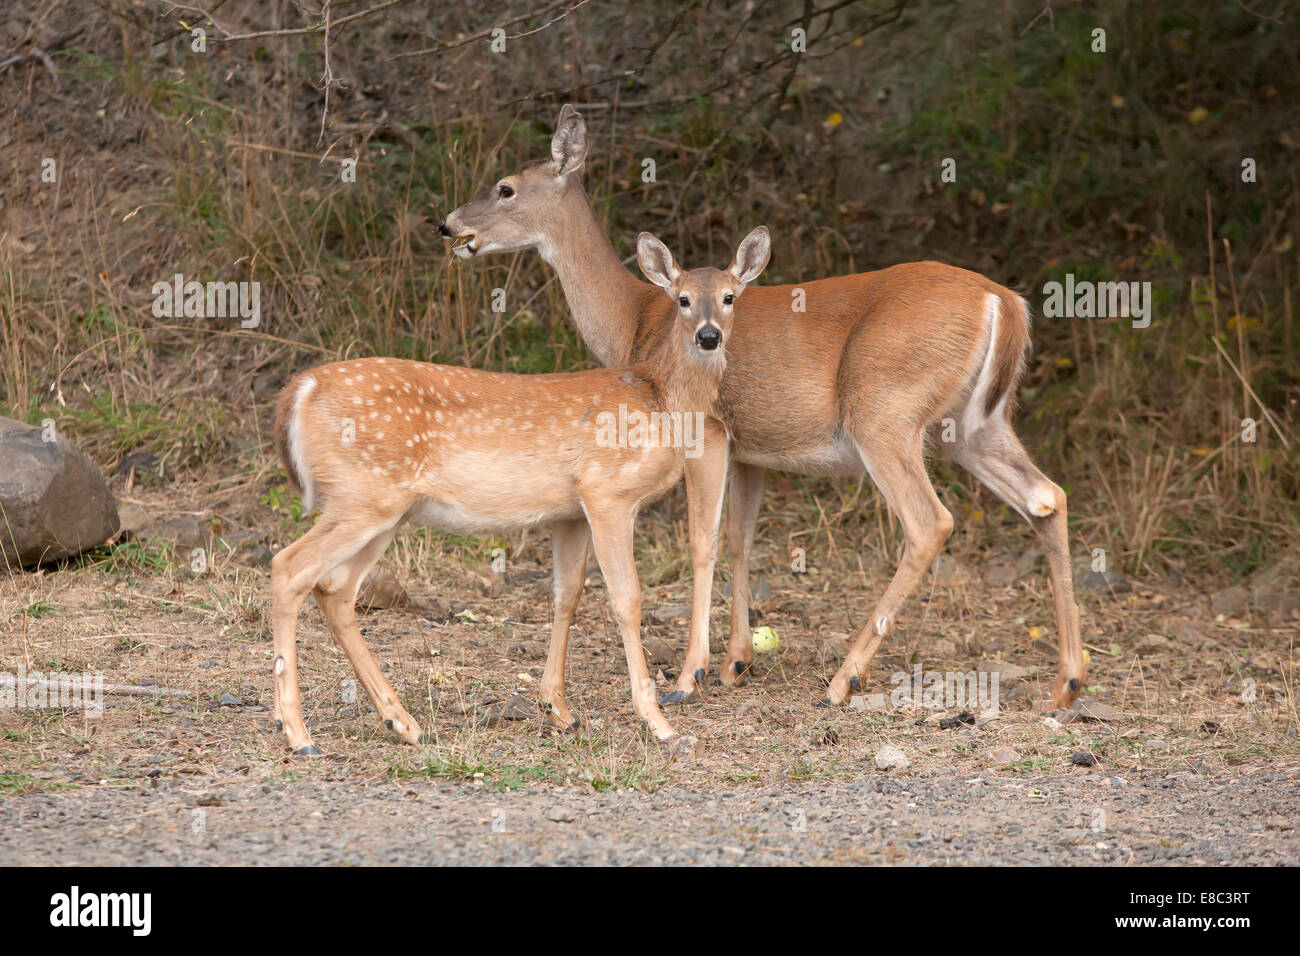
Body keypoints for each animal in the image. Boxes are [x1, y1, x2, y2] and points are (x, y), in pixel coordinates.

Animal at [269, 226, 771, 755]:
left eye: (730, 297)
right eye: (682, 299)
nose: (709, 336)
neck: (662, 404)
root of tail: (298, 391)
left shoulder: (569, 511)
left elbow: (567, 594)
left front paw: (559, 711)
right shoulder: (607, 491)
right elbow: (626, 598)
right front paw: (657, 720)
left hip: (383, 508)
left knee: (337, 590)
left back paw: (402, 722)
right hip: (362, 496)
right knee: (289, 568)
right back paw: (298, 733)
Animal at [439, 104, 1087, 713]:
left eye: (504, 187)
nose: (448, 225)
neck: (635, 321)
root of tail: (1004, 301)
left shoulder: (707, 429)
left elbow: (701, 541)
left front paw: (690, 676)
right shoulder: (752, 451)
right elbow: (739, 539)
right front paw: (736, 661)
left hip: (884, 409)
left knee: (930, 522)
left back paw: (843, 680)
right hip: (973, 424)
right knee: (1046, 496)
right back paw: (1067, 682)